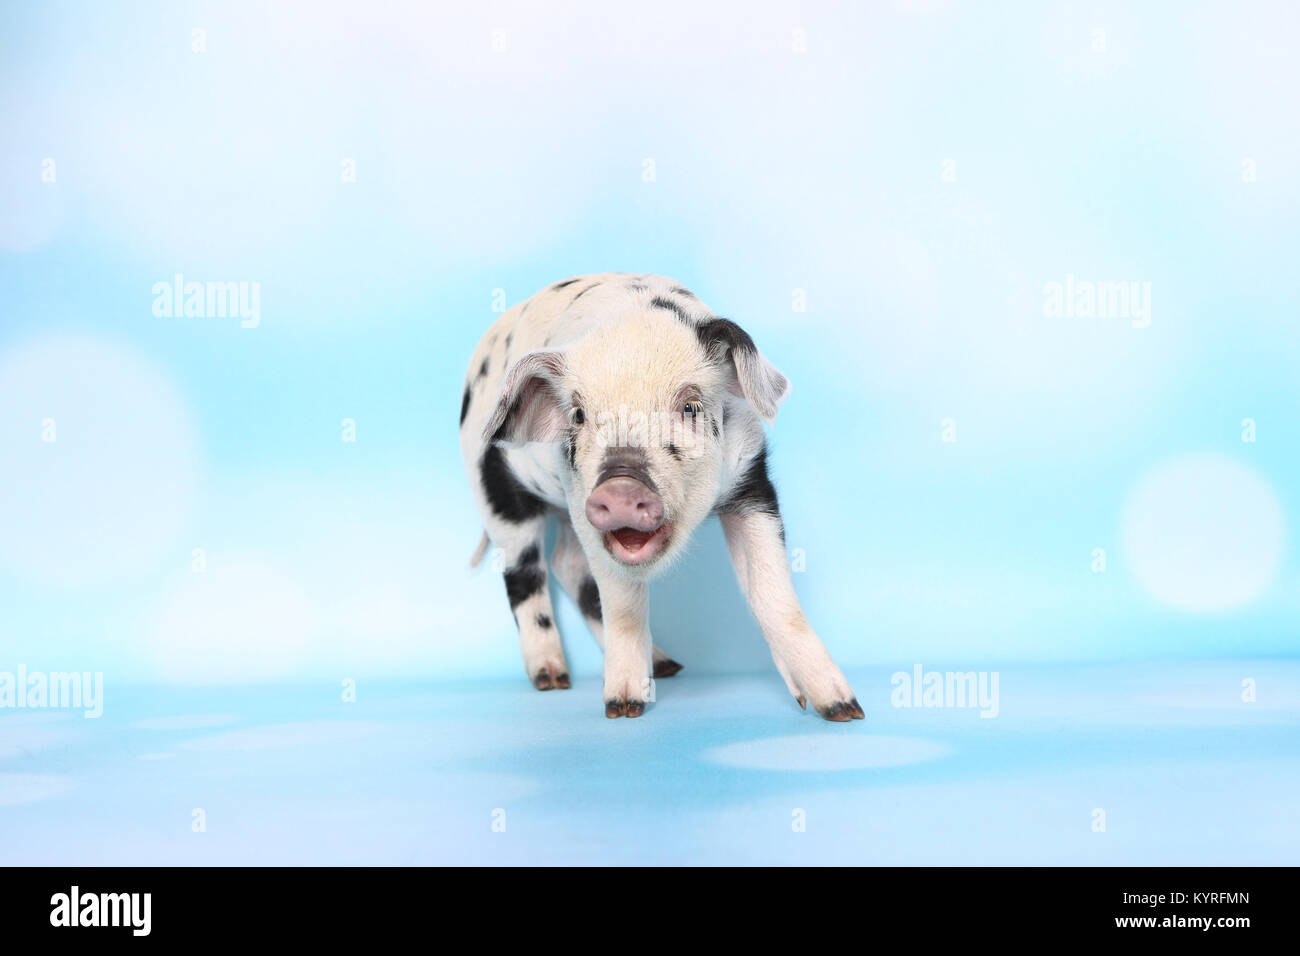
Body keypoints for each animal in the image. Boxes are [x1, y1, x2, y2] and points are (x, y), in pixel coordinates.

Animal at [459, 273, 863, 721]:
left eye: (690, 406)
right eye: (579, 415)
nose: (620, 484)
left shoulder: (752, 484)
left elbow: (773, 594)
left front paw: (843, 710)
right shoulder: (578, 500)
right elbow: (623, 603)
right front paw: (623, 708)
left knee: (566, 564)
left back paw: (670, 667)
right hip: (495, 496)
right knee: (525, 575)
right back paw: (554, 680)